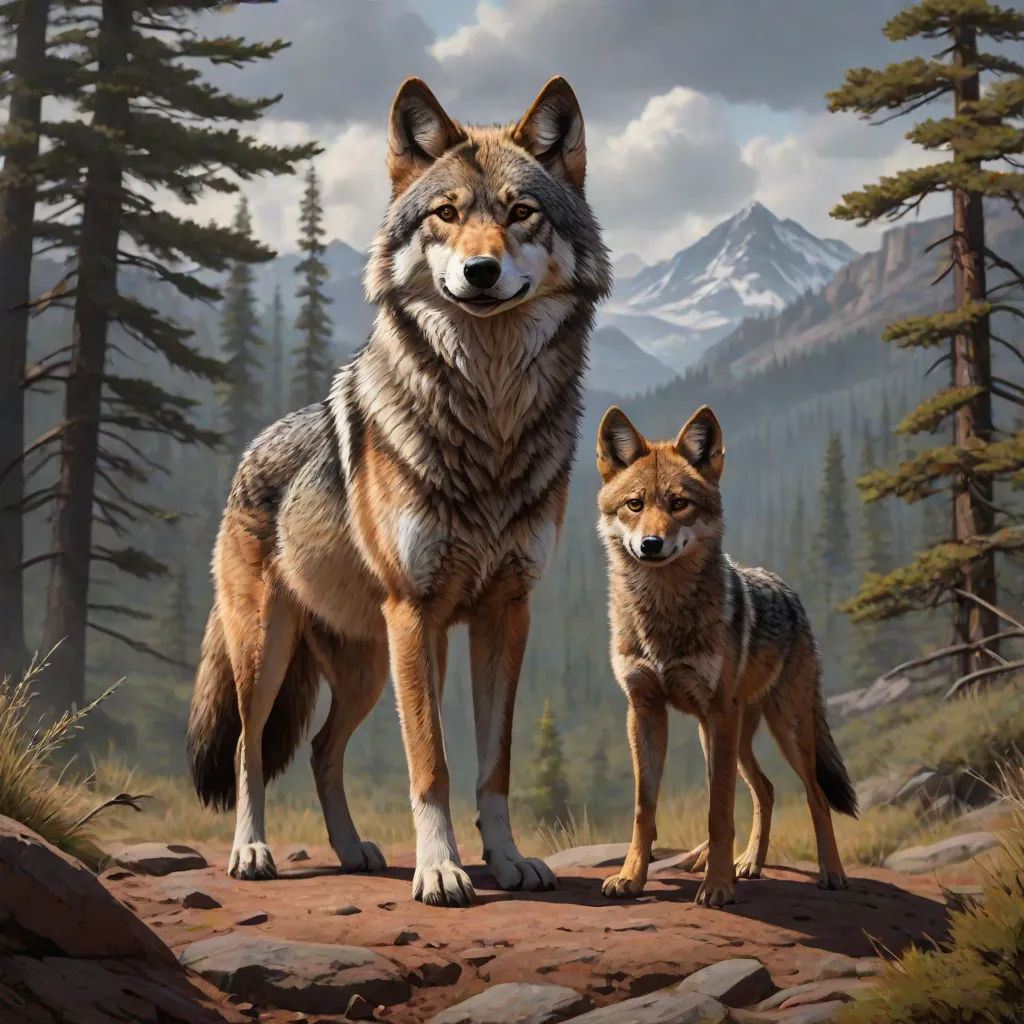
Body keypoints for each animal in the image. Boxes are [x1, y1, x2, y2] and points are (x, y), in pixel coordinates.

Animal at [185, 76, 610, 908]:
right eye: (446, 213)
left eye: (520, 212)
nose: (481, 273)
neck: (489, 420)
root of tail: (251, 447)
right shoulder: (416, 614)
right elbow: (431, 762)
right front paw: (442, 869)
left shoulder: (505, 613)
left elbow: (492, 764)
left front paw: (507, 861)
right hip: (272, 650)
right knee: (251, 749)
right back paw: (251, 852)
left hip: (365, 667)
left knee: (322, 749)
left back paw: (352, 850)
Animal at [595, 405, 857, 907]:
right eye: (635, 505)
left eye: (679, 504)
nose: (651, 544)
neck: (663, 615)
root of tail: (788, 589)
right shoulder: (644, 710)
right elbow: (644, 809)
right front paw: (632, 877)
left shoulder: (718, 713)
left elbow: (719, 812)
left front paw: (716, 887)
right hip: (723, 735)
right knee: (766, 790)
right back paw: (747, 863)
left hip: (781, 730)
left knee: (814, 796)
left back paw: (830, 872)